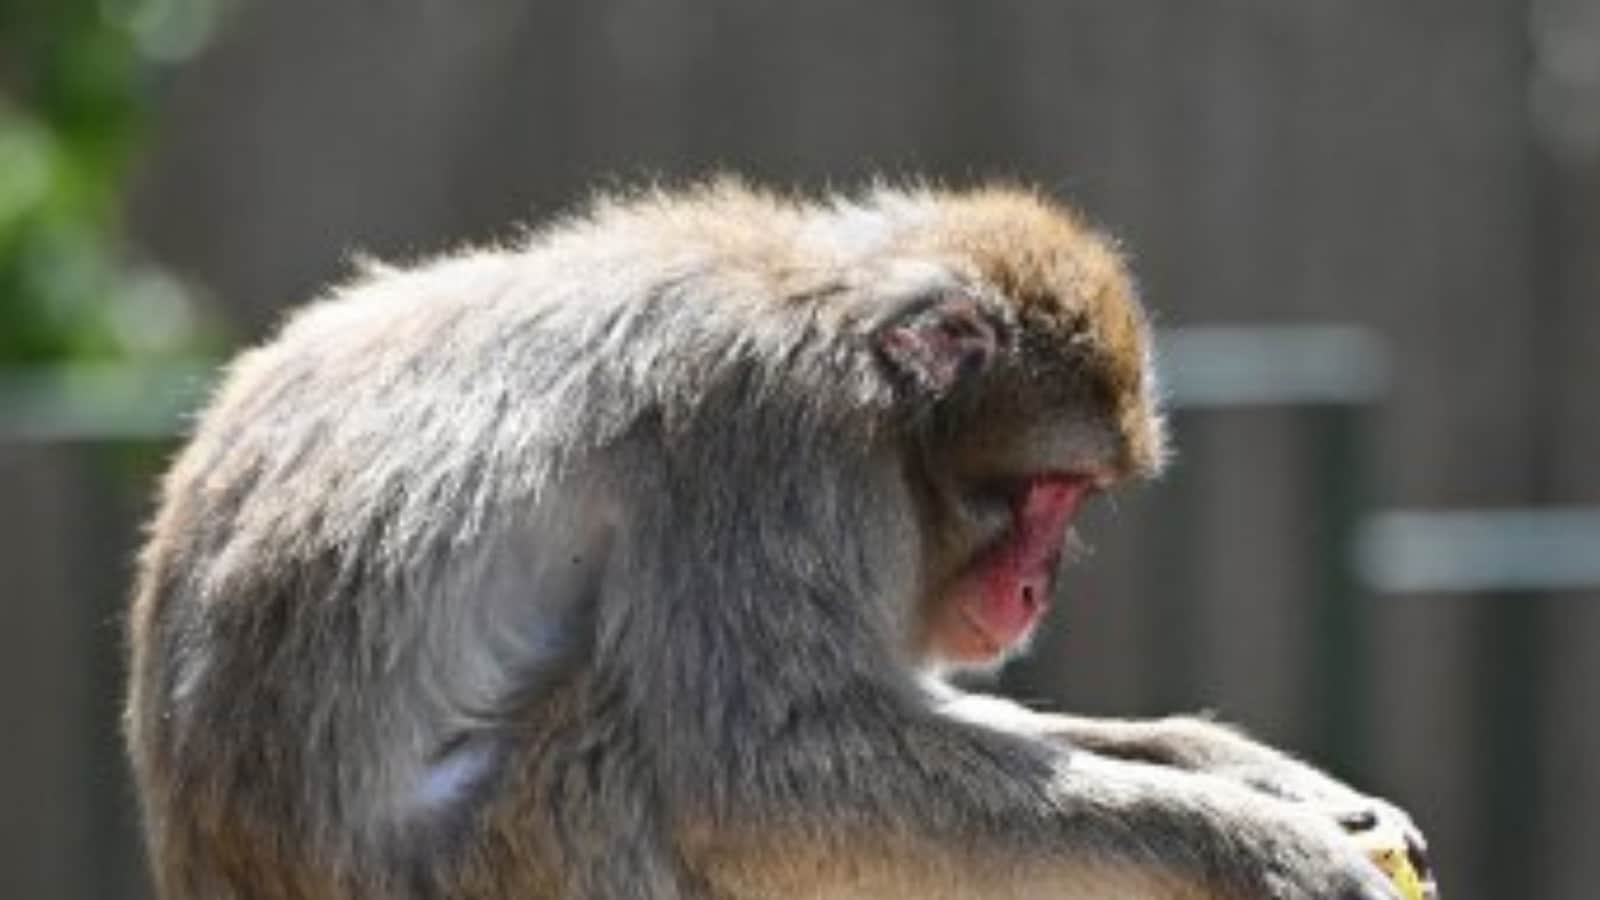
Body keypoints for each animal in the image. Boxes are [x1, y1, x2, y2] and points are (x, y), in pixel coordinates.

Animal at [124, 178, 1433, 900]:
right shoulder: (766, 448)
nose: (1036, 591)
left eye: (1077, 503)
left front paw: (1242, 773)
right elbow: (763, 769)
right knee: (631, 741)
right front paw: (1247, 844)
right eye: (1046, 492)